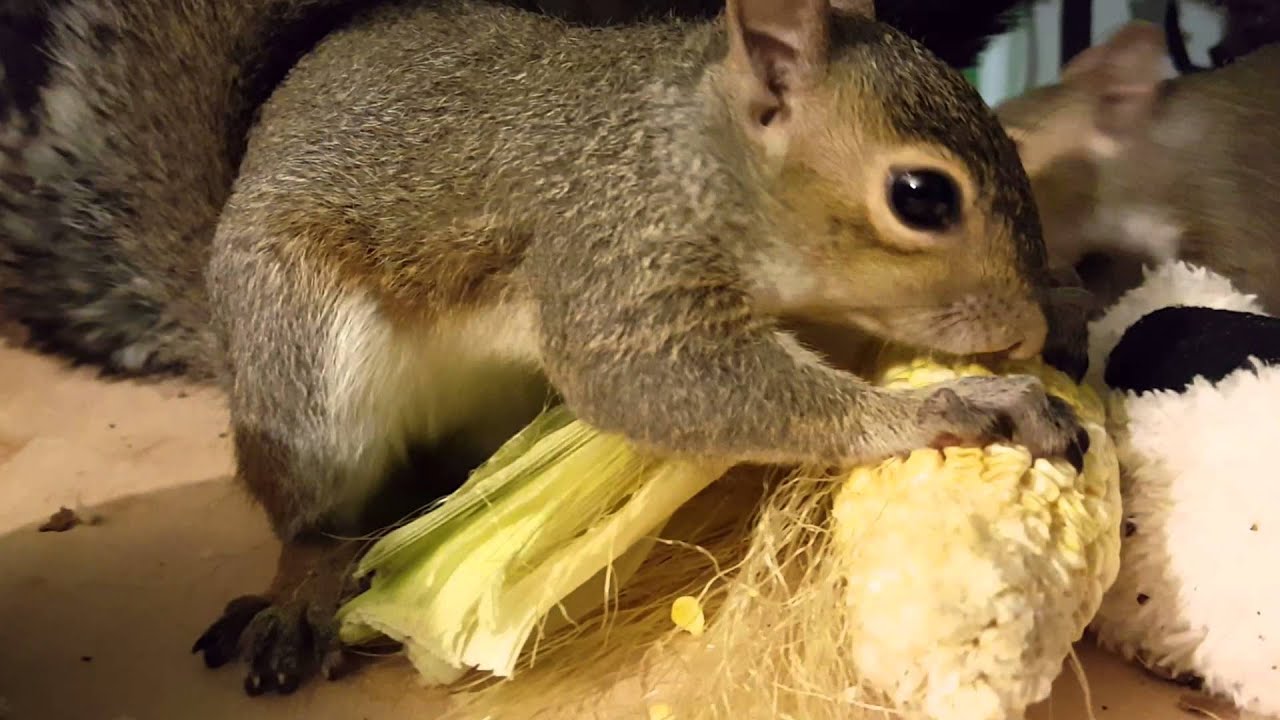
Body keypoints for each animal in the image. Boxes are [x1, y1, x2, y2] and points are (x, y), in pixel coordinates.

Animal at [1, 0, 1086, 697]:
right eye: (920, 197)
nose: (1025, 331)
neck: (697, 154)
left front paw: (1070, 315)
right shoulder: (608, 252)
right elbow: (655, 379)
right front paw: (950, 407)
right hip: (304, 369)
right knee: (311, 519)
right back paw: (303, 595)